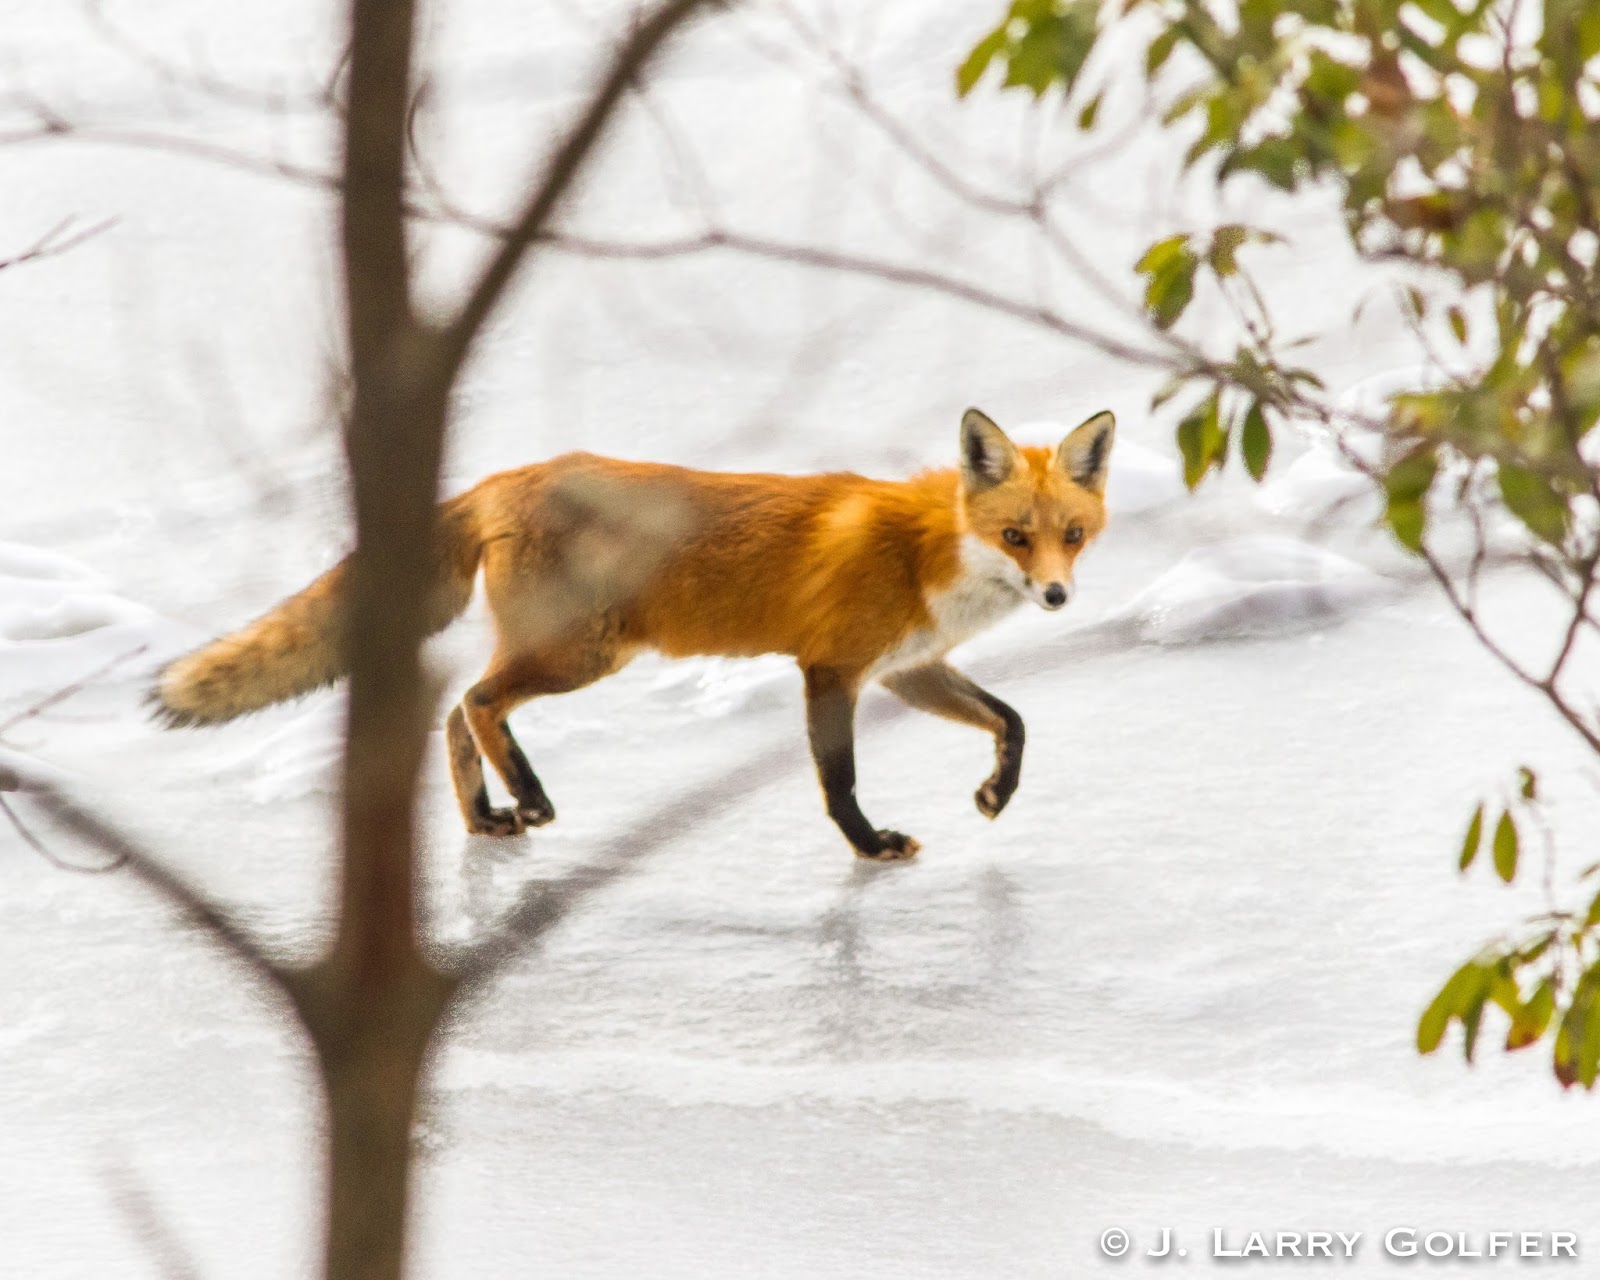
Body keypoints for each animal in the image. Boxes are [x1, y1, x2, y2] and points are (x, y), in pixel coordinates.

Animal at [153, 407, 1114, 859]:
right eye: (1014, 535)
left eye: (1071, 534)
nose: (1057, 596)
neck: (925, 555)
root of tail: (509, 476)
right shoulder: (831, 668)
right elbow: (838, 782)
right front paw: (870, 846)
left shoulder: (908, 669)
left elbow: (1014, 721)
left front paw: (997, 792)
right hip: (585, 652)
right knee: (475, 701)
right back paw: (528, 798)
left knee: (453, 714)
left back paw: (483, 818)